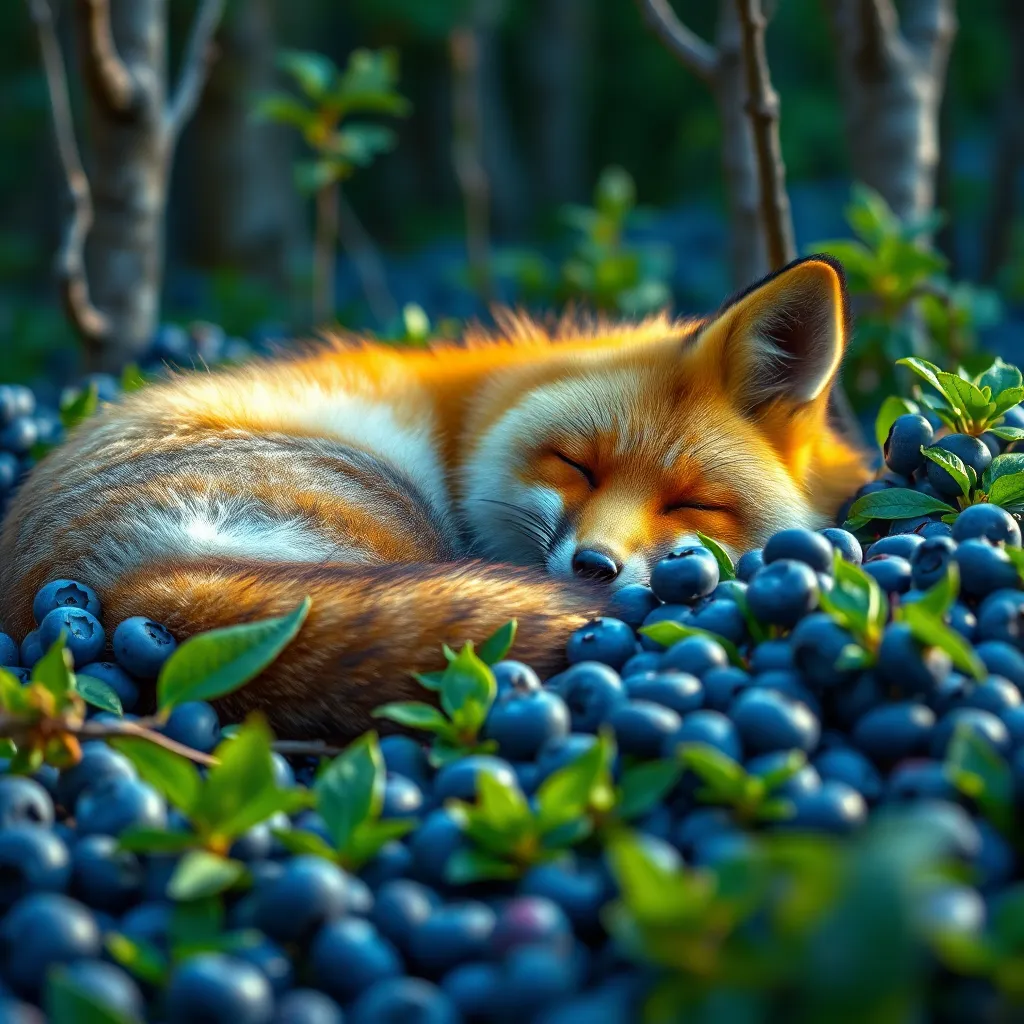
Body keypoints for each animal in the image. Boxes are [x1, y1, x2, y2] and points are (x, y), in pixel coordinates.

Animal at [0, 255, 869, 740]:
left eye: (694, 503)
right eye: (577, 466)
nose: (593, 568)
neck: (472, 416)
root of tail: (119, 590)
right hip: (397, 518)